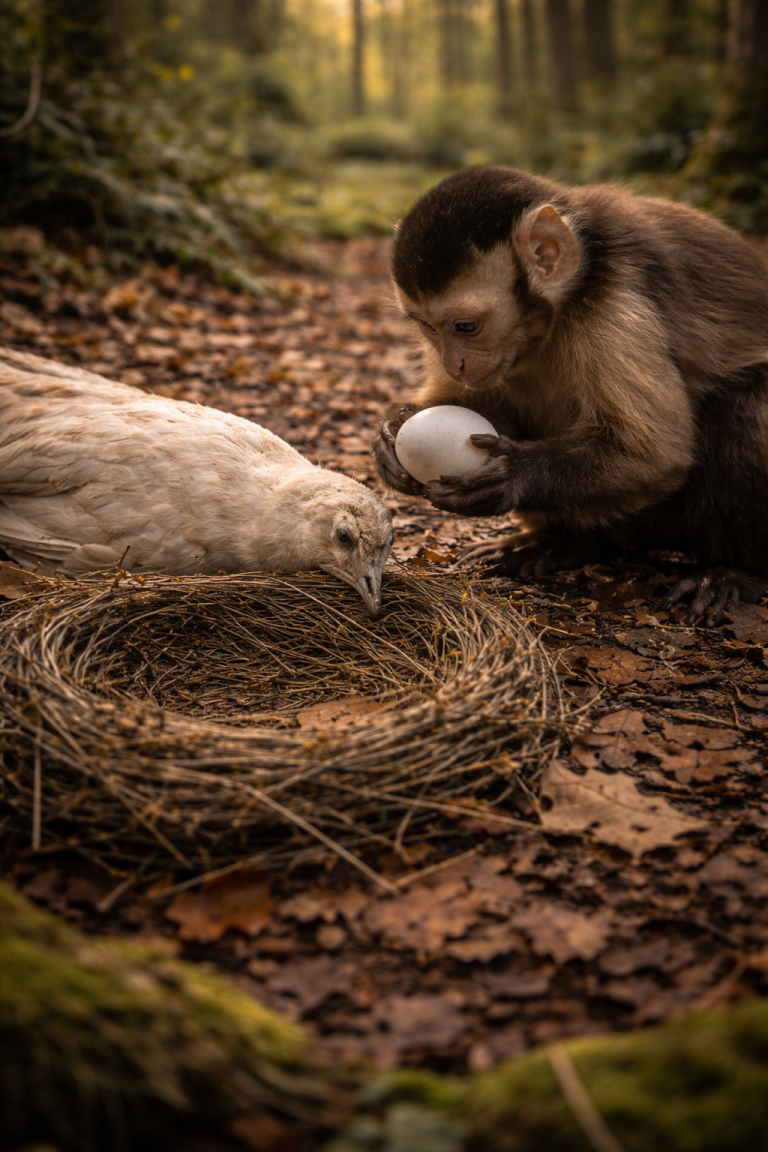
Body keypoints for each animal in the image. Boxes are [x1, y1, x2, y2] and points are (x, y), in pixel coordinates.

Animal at [373, 166, 768, 625]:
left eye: (466, 327)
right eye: (428, 329)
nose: (454, 363)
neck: (567, 298)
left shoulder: (619, 305)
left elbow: (655, 457)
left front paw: (512, 474)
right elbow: (468, 402)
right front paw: (389, 440)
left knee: (741, 404)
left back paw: (734, 570)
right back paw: (564, 542)